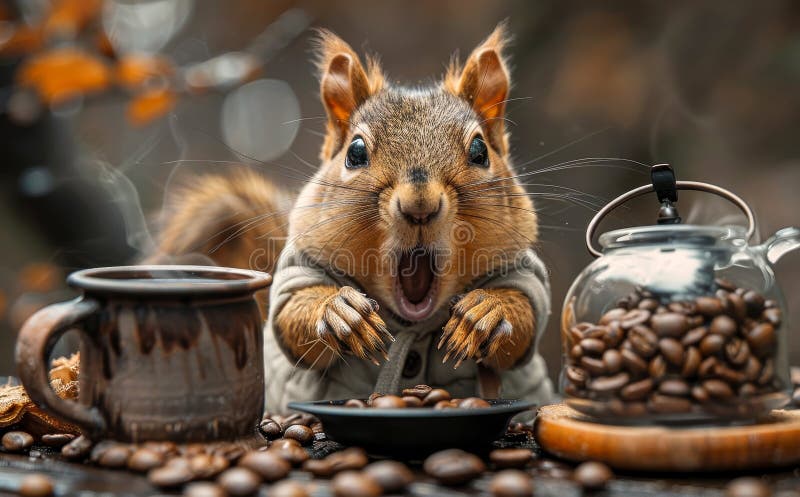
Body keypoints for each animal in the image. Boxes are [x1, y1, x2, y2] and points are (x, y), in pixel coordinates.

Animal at [151, 24, 554, 411]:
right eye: (355, 152)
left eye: (480, 150)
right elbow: (294, 316)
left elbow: (524, 317)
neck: (410, 325)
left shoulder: (522, 270)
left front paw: (486, 310)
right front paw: (340, 311)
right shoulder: (301, 267)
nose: (419, 205)